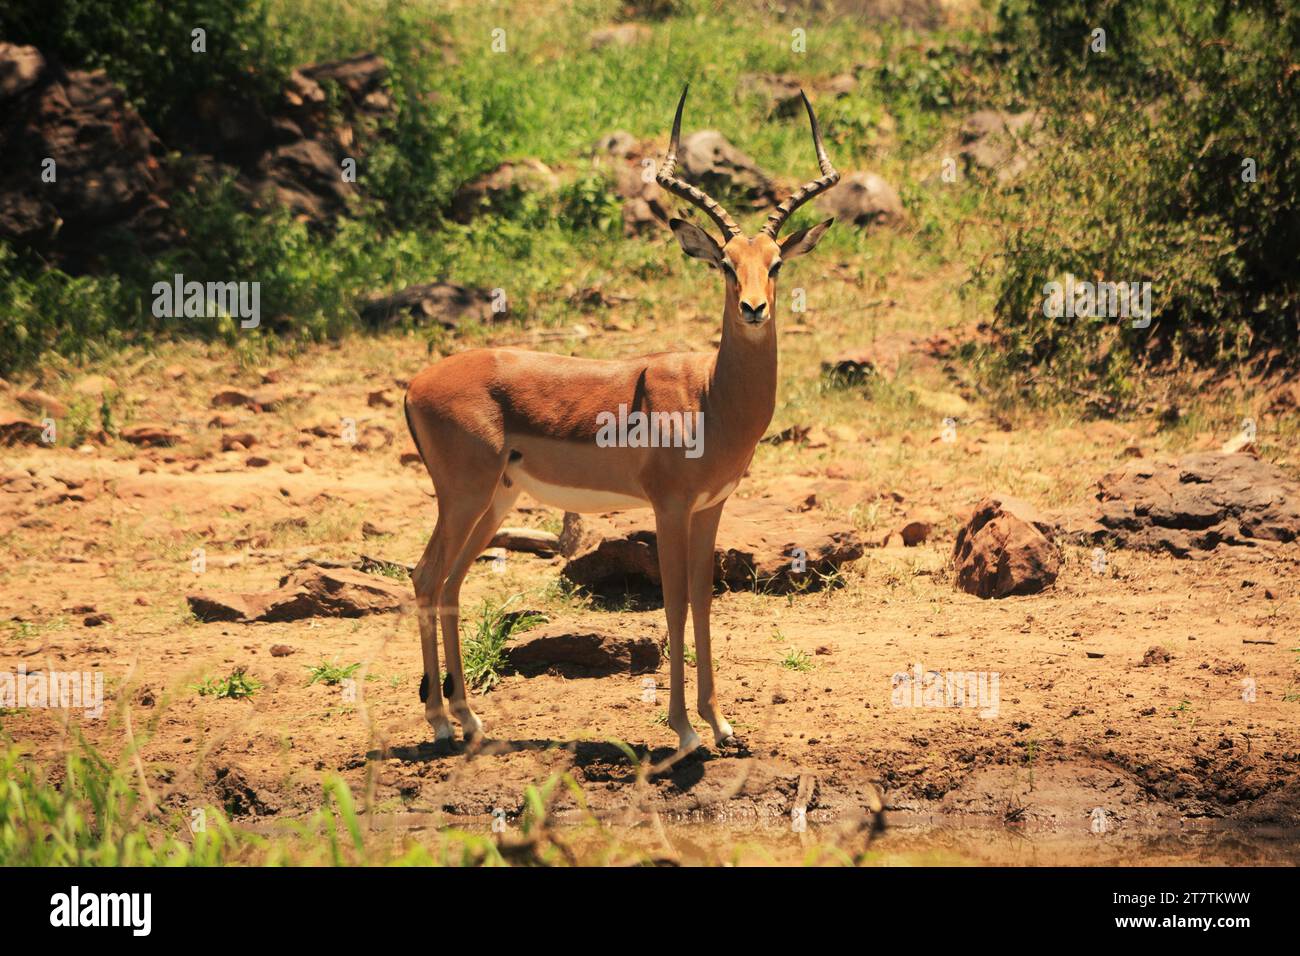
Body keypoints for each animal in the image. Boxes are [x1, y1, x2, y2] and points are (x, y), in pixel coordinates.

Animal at [403, 85, 839, 754]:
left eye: (776, 263)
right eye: (724, 263)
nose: (753, 308)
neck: (710, 397)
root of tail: (414, 385)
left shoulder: (711, 507)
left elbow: (704, 601)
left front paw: (720, 723)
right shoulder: (669, 506)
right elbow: (675, 604)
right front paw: (684, 731)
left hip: (495, 499)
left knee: (450, 582)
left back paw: (470, 719)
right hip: (464, 495)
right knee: (427, 578)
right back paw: (440, 724)